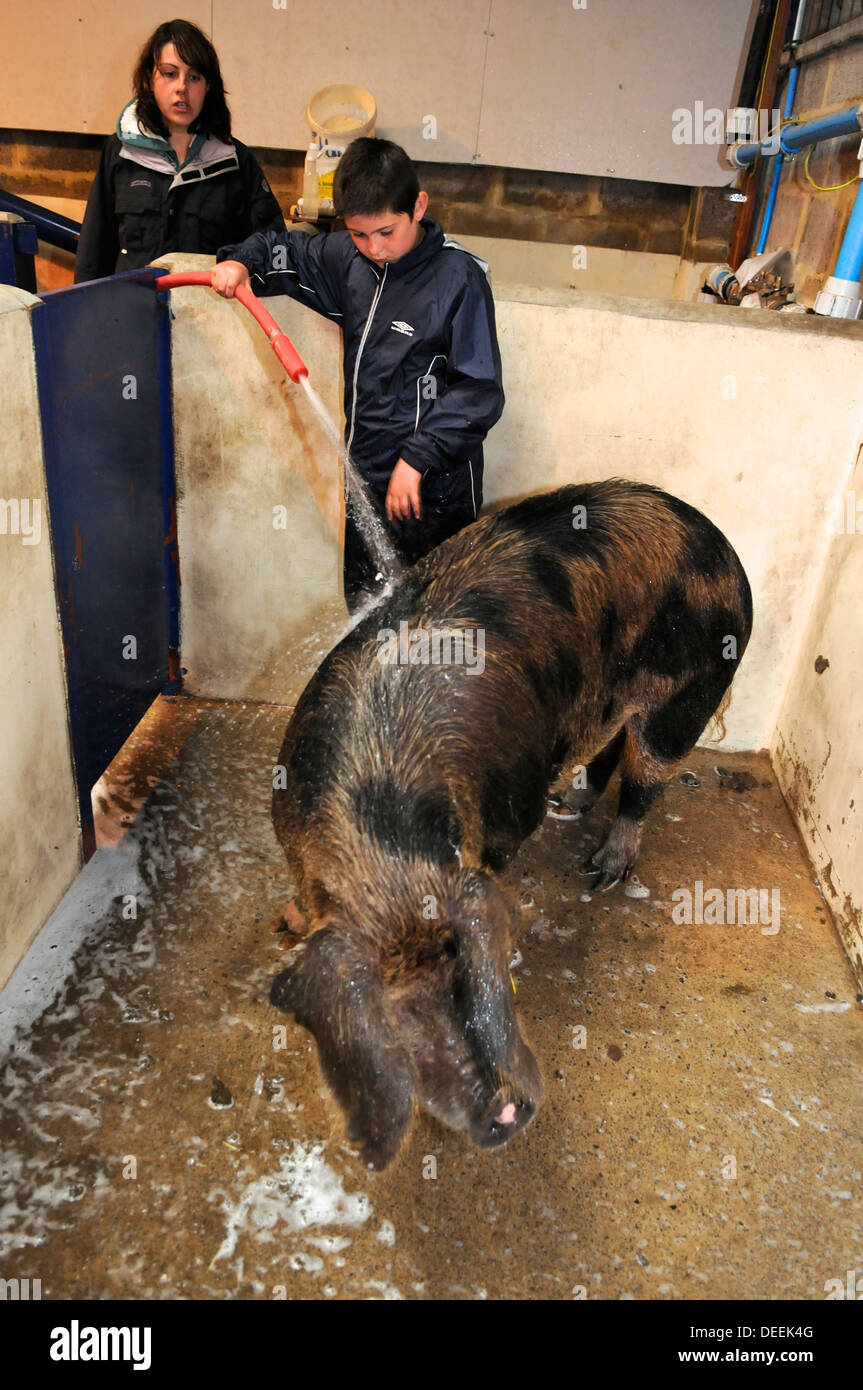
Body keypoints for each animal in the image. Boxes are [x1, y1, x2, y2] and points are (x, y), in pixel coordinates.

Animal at [269, 479, 752, 1168]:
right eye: (396, 1016)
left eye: (484, 978)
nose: (507, 1111)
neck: (381, 842)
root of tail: (717, 541)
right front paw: (285, 924)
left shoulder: (508, 813)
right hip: (608, 698)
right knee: (611, 745)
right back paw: (571, 806)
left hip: (689, 693)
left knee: (646, 777)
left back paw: (602, 872)